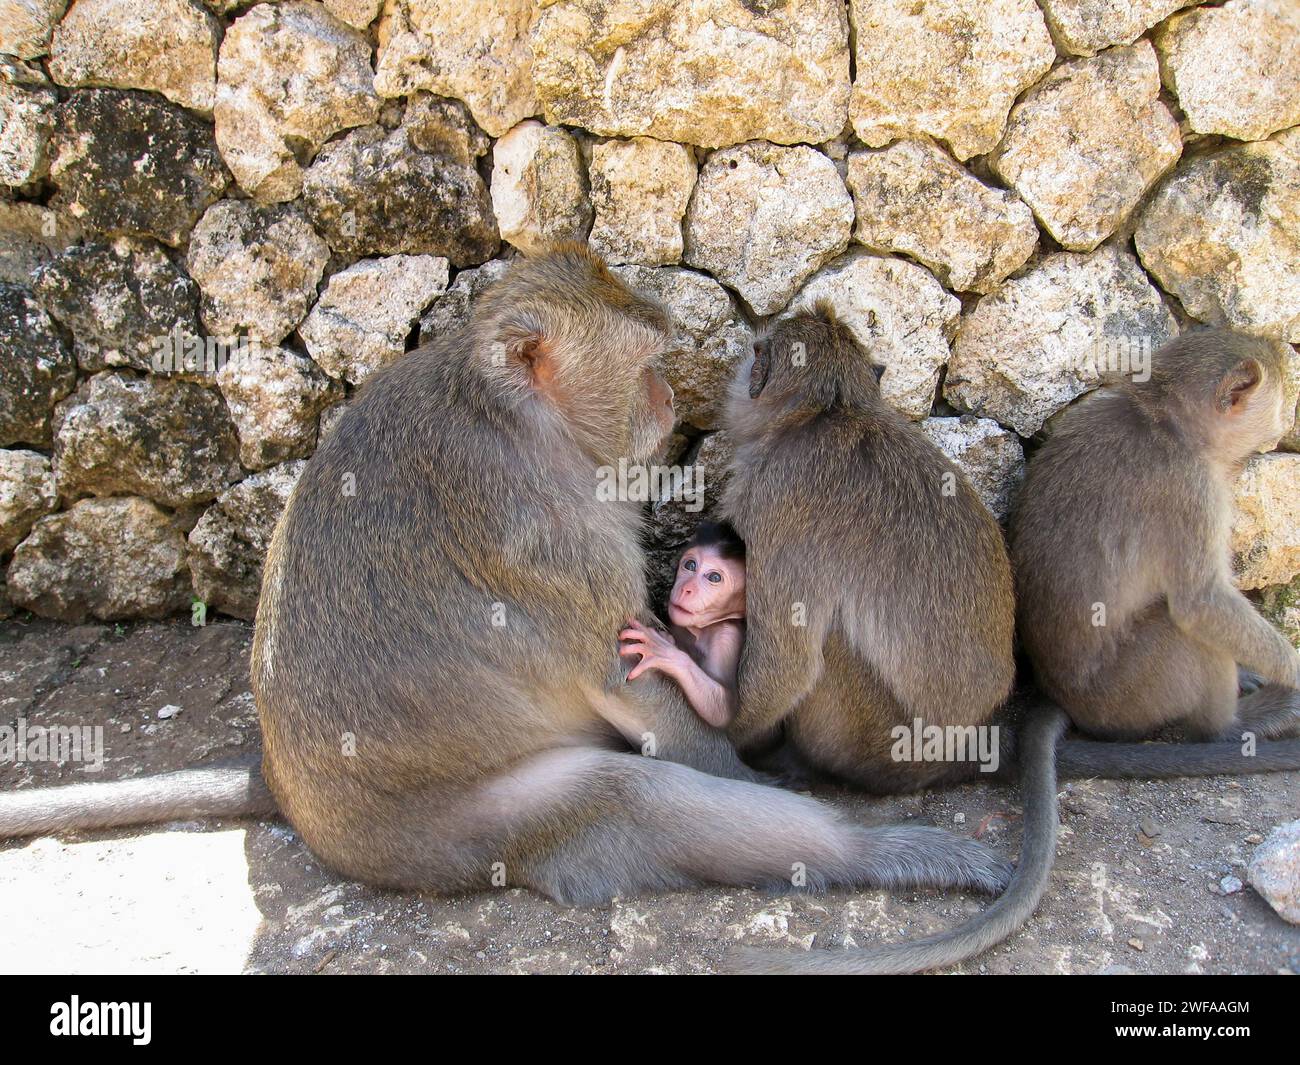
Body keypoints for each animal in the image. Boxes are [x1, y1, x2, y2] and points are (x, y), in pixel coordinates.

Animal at [618, 520, 746, 729]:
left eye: (714, 578)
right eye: (690, 565)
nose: (687, 589)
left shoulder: (727, 637)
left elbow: (723, 707)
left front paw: (665, 651)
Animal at [1012, 329, 1300, 771]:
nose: (1285, 420)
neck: (1167, 420)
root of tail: (1067, 700)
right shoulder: (1193, 490)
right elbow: (1202, 603)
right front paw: (1294, 671)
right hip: (1131, 694)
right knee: (1182, 628)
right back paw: (1229, 728)